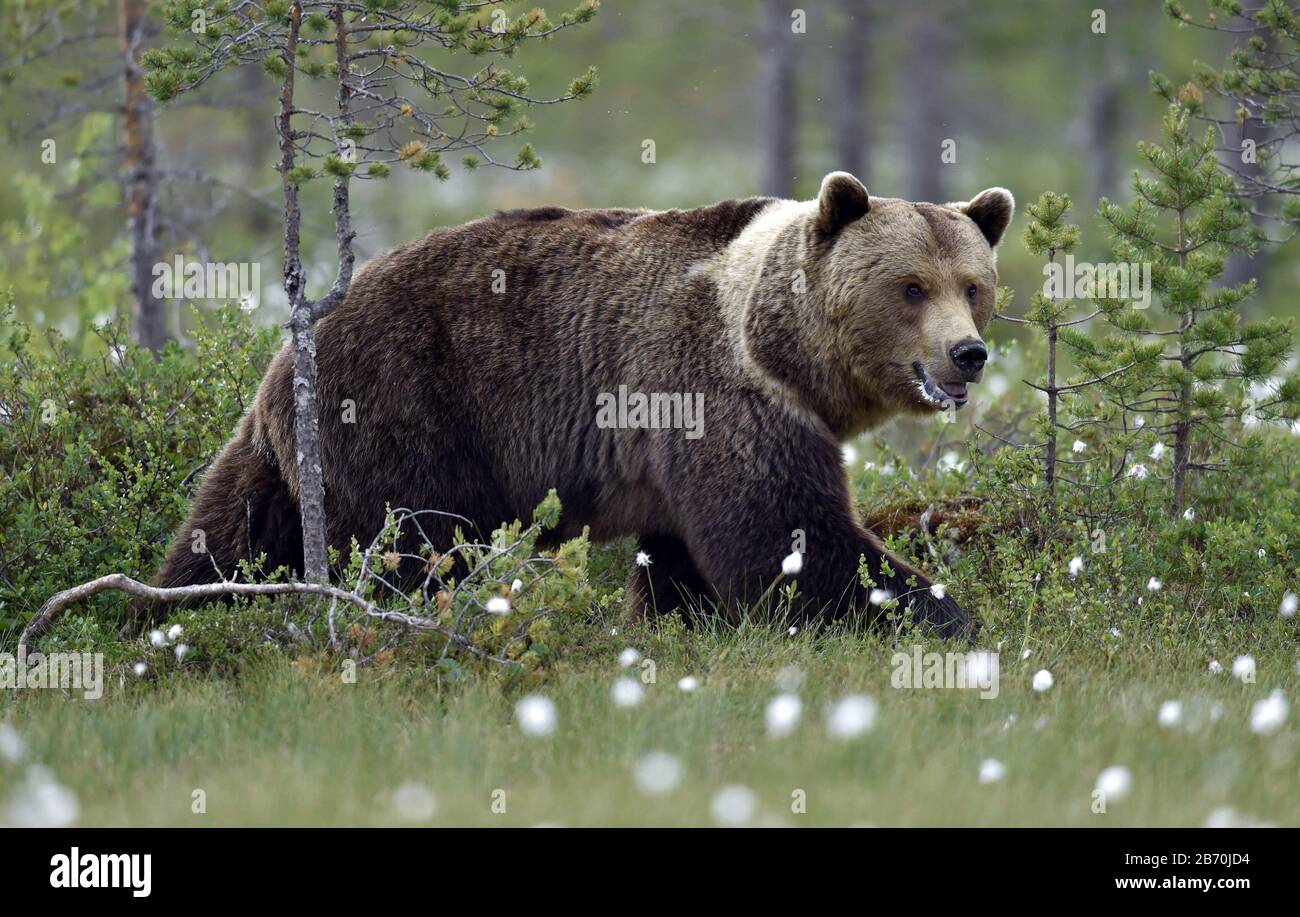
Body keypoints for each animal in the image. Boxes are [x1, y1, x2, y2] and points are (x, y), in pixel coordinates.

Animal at [144, 171, 1012, 638]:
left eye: (973, 284)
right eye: (911, 286)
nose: (967, 353)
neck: (782, 351)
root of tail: (286, 351)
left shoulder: (679, 437)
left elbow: (687, 557)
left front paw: (677, 620)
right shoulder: (717, 389)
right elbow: (787, 537)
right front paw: (950, 618)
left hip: (284, 457)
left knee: (227, 534)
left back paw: (159, 616)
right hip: (405, 405)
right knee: (420, 544)